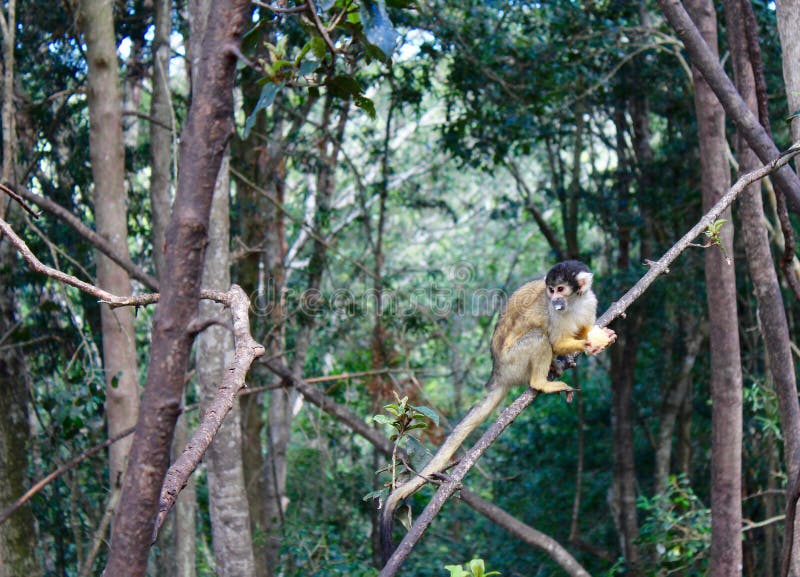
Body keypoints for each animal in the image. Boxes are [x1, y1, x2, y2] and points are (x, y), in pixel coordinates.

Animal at [380, 260, 615, 562]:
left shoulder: (588, 302)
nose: (555, 300)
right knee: (538, 336)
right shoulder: (553, 314)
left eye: (561, 289)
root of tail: (499, 374)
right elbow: (555, 339)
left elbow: (583, 327)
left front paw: (596, 337)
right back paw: (541, 382)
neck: (574, 303)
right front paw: (586, 344)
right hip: (514, 362)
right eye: (551, 290)